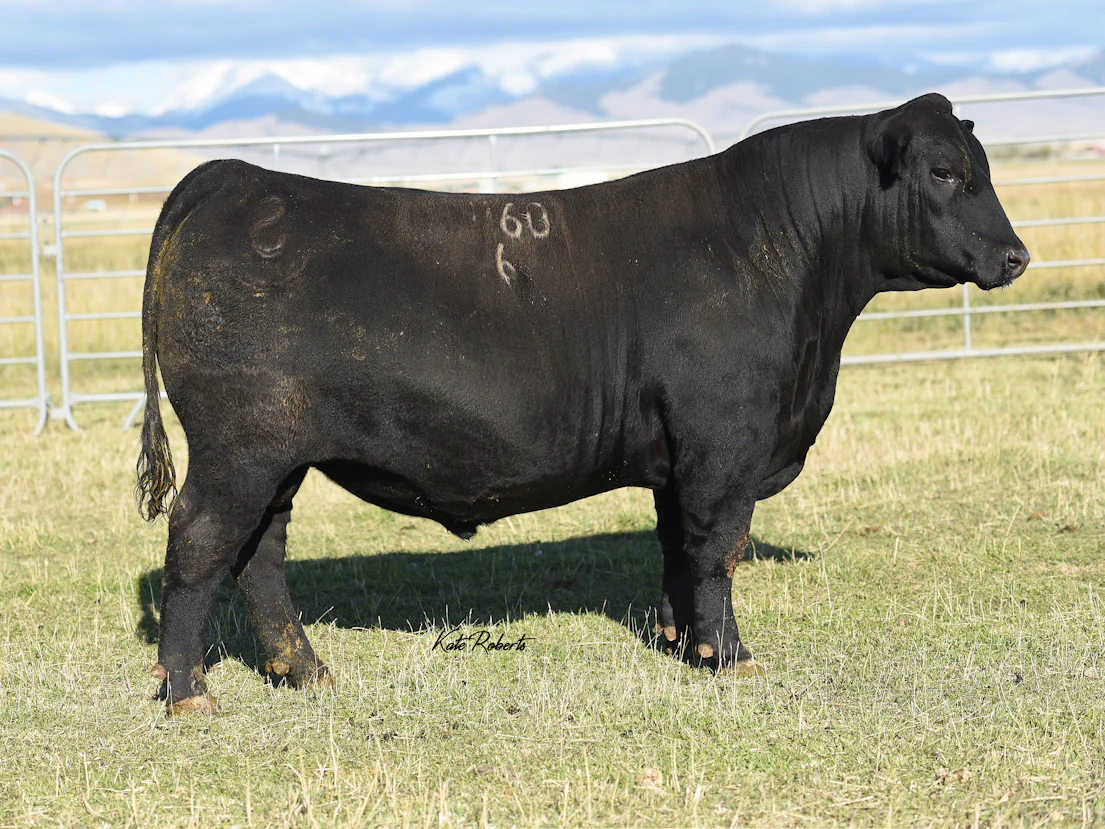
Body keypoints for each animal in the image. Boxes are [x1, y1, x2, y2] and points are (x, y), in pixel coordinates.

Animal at [137, 93, 1028, 713]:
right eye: (944, 172)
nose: (1015, 255)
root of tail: (233, 177)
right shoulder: (724, 447)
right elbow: (718, 551)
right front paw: (732, 657)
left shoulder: (678, 458)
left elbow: (676, 549)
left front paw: (682, 643)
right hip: (240, 448)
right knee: (199, 545)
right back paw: (189, 691)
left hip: (275, 458)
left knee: (259, 557)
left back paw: (307, 671)